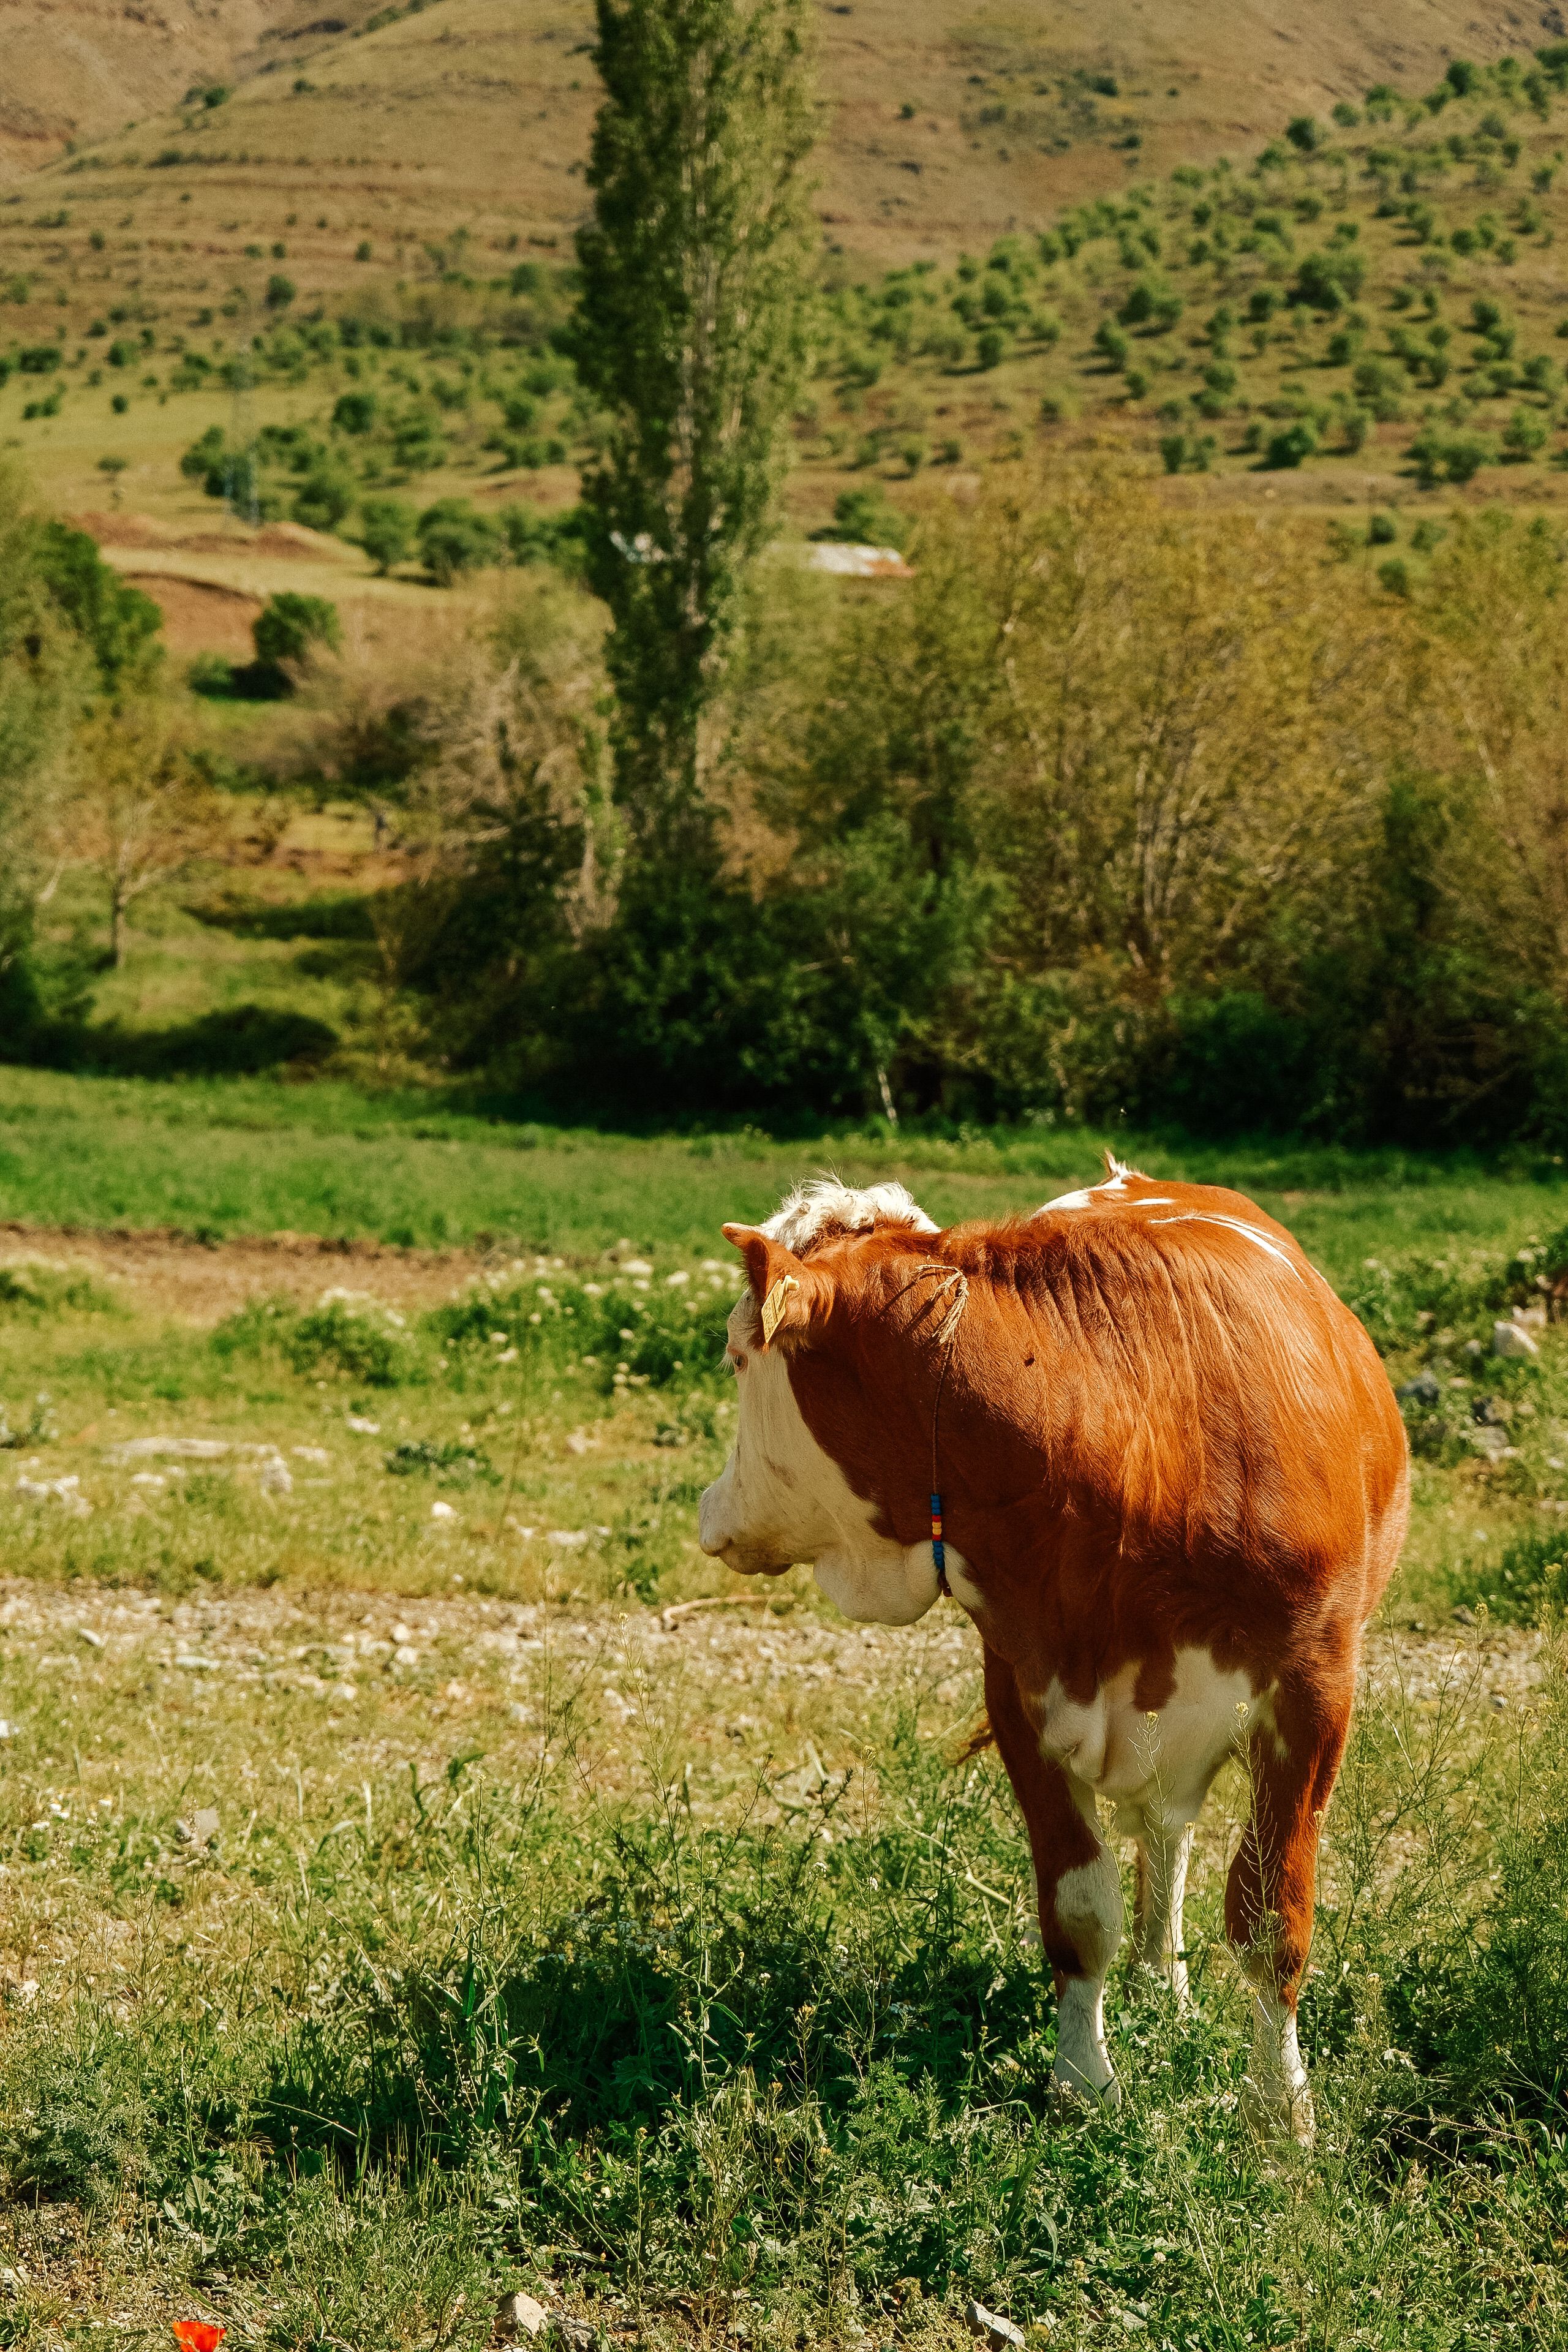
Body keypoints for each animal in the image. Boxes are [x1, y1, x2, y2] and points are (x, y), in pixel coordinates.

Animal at [697, 1160, 1409, 2142]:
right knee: (1165, 1833)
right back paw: (1156, 1980)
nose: (708, 1507)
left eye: (737, 1359)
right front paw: (1084, 2084)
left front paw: (1280, 2113)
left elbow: (1273, 1918)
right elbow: (1079, 1907)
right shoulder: (1019, 1688)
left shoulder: (1314, 1696)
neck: (1133, 1436)